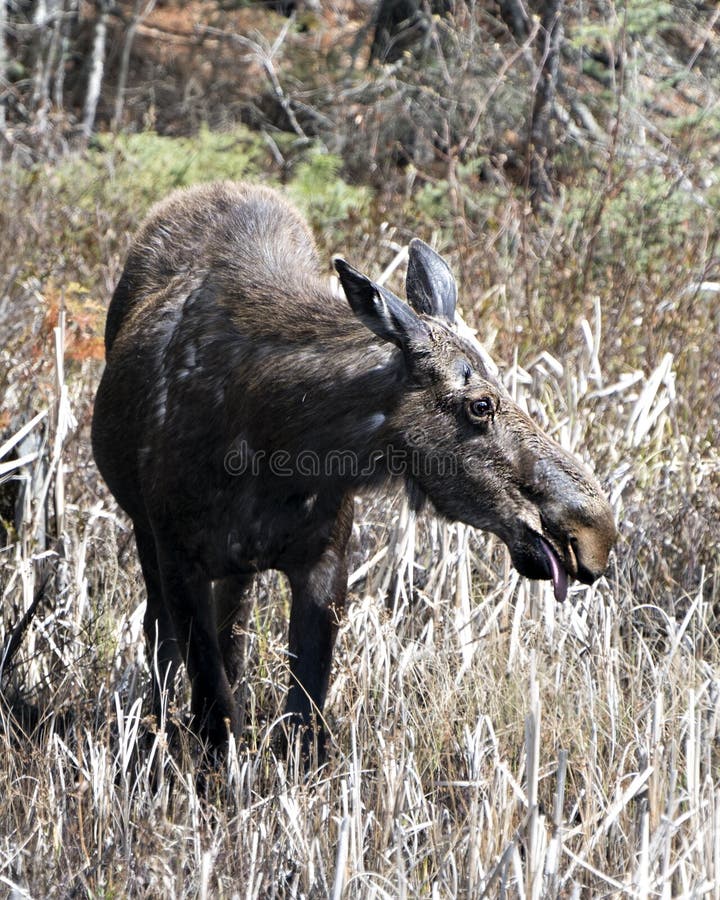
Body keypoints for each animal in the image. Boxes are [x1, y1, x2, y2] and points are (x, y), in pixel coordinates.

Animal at [92, 181, 617, 759]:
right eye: (481, 404)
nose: (594, 530)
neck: (276, 449)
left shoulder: (326, 562)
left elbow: (303, 724)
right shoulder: (178, 555)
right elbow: (215, 714)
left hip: (233, 569)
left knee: (233, 632)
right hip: (148, 536)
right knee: (159, 640)